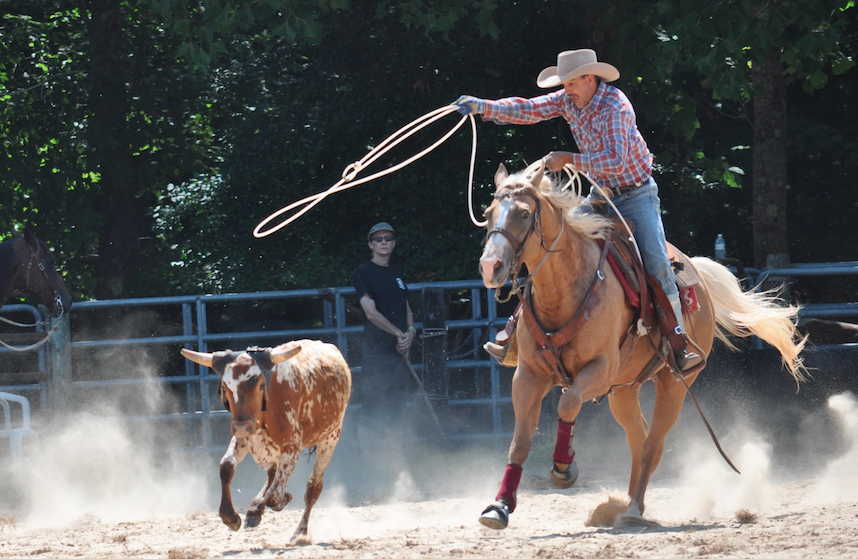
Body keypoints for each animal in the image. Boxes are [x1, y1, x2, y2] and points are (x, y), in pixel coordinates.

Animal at [181, 339, 351, 543]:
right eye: (225, 387)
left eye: (261, 385)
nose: (241, 425)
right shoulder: (245, 439)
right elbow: (226, 466)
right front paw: (231, 516)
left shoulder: (292, 449)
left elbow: (275, 496)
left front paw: (275, 501)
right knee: (272, 474)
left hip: (331, 437)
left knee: (313, 487)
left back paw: (300, 532)